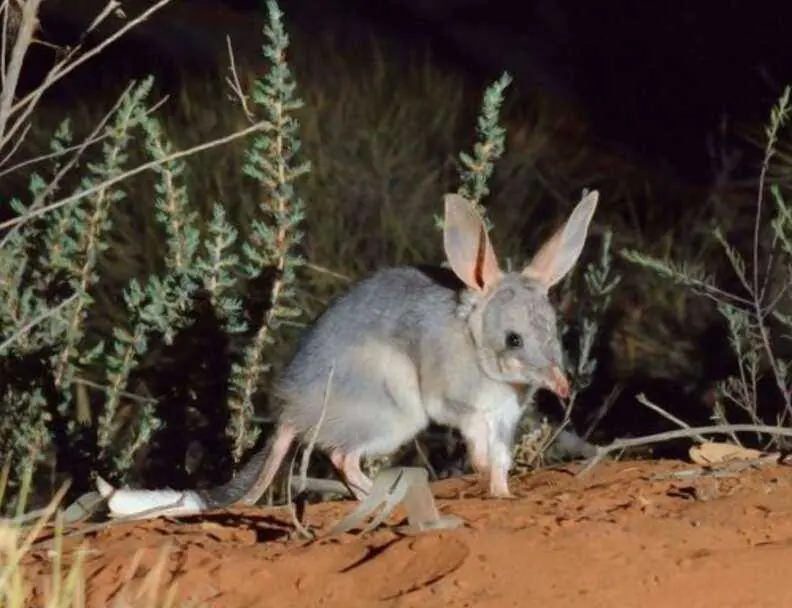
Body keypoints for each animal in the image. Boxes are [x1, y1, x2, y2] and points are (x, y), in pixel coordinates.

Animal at [99, 189, 598, 519]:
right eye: (513, 340)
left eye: (555, 331)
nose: (563, 386)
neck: (478, 347)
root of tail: (291, 413)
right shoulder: (458, 404)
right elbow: (477, 444)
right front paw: (482, 476)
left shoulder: (505, 418)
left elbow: (502, 460)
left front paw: (502, 494)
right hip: (396, 412)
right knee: (343, 458)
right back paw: (384, 499)